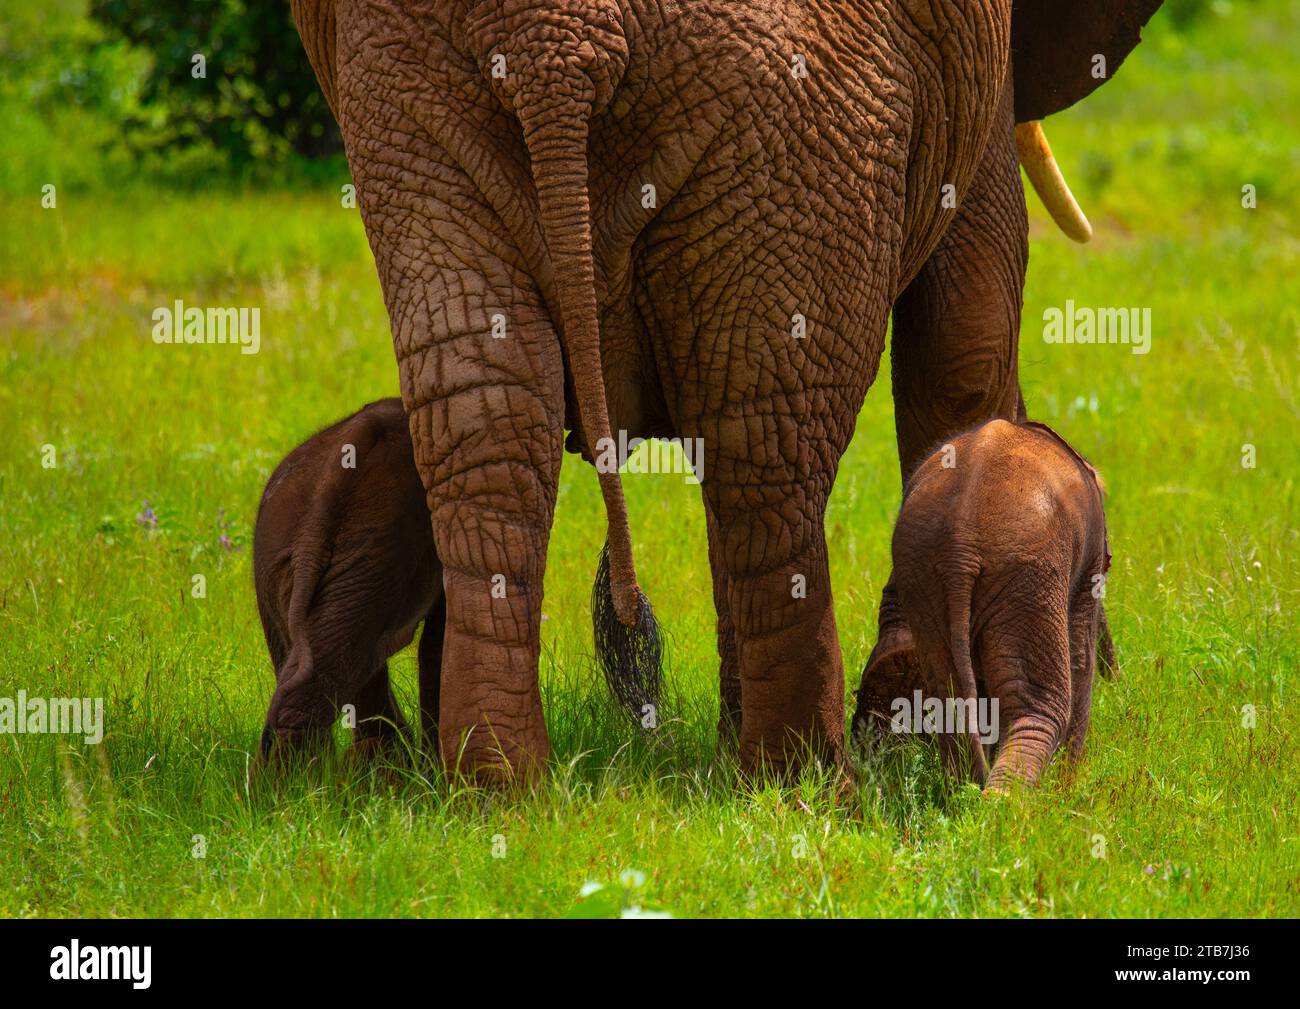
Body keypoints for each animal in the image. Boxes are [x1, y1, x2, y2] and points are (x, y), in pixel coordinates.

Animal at [856, 419, 1110, 790]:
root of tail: (959, 546)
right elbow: (1080, 653)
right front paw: (1068, 786)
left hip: (924, 571)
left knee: (950, 696)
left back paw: (967, 794)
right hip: (1027, 573)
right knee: (1039, 705)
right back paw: (1000, 801)